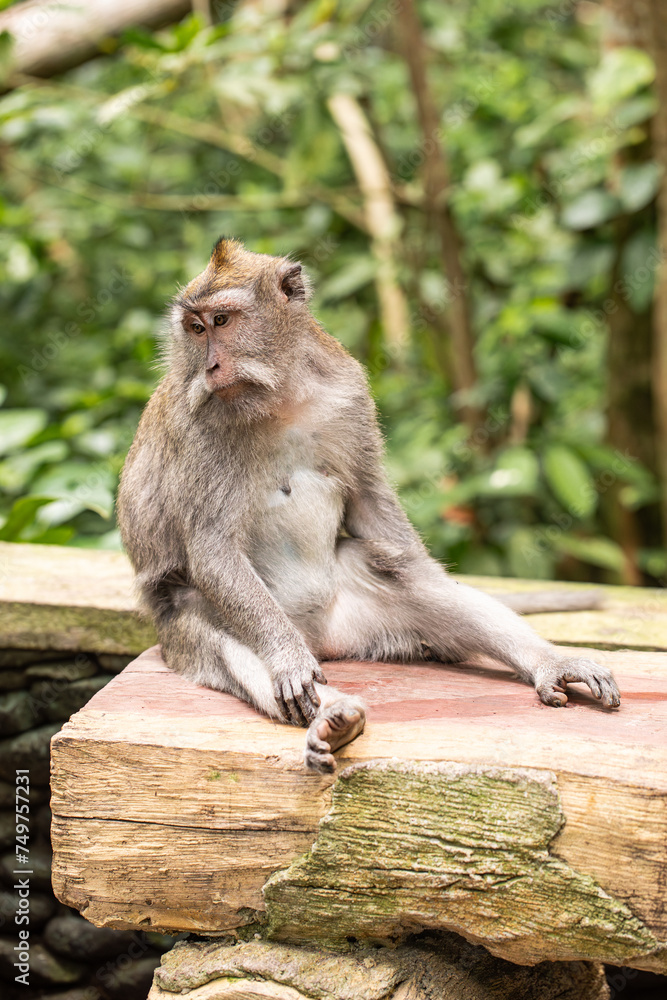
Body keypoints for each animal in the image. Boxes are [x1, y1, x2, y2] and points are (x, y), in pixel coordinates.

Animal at [117, 238, 620, 774]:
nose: (210, 366)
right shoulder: (199, 430)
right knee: (217, 630)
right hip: (185, 632)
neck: (279, 398)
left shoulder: (350, 393)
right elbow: (213, 551)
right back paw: (331, 715)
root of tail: (322, 638)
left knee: (401, 572)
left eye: (221, 321)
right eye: (195, 330)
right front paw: (289, 661)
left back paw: (550, 663)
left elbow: (375, 510)